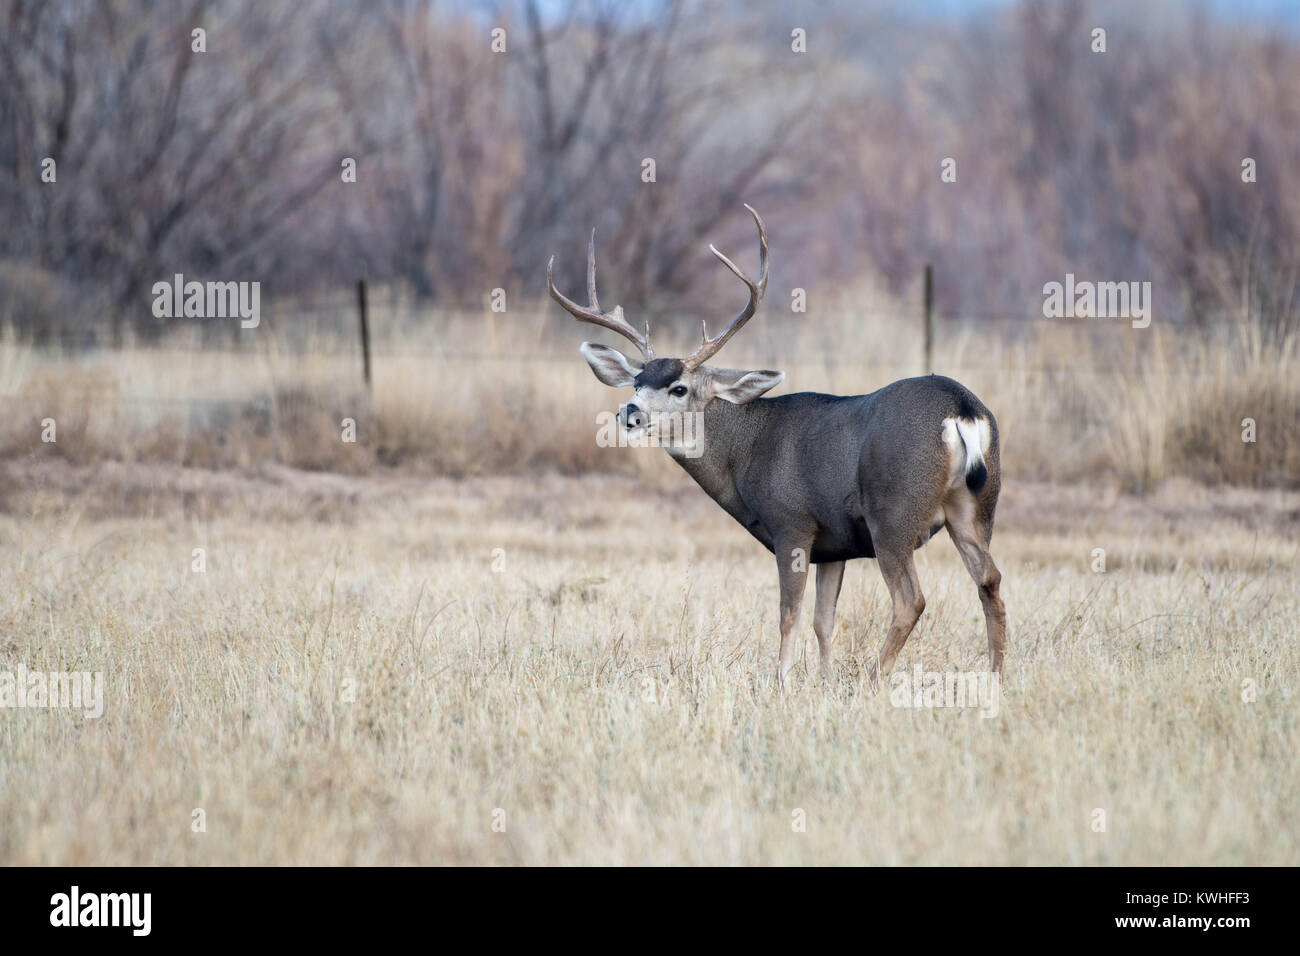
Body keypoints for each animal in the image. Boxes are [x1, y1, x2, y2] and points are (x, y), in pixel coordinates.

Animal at [547, 205, 1006, 688]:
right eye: (637, 380)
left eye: (679, 388)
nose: (629, 412)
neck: (745, 452)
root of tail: (962, 408)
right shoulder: (835, 543)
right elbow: (824, 620)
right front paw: (824, 681)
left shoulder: (792, 522)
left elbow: (789, 613)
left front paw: (782, 681)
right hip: (976, 507)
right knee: (990, 580)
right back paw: (996, 673)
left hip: (894, 512)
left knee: (911, 600)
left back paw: (874, 678)